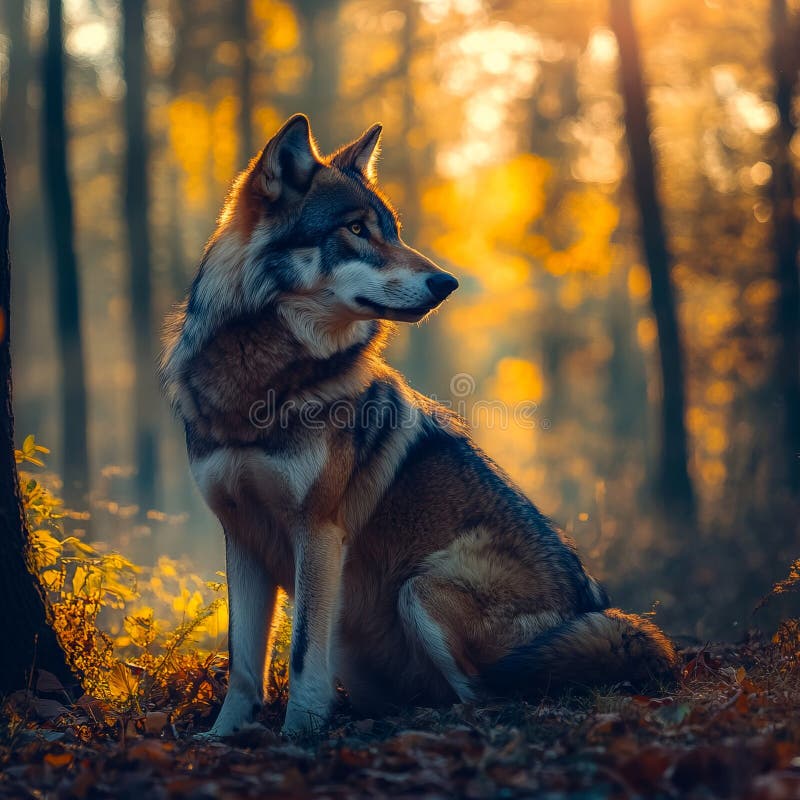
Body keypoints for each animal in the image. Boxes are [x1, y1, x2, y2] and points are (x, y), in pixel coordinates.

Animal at [160, 114, 677, 737]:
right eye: (357, 229)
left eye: (393, 232)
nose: (447, 283)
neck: (265, 378)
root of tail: (594, 606)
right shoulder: (241, 537)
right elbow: (242, 661)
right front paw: (224, 735)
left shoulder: (319, 531)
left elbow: (303, 651)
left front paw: (300, 732)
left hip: (421, 587)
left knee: (489, 696)